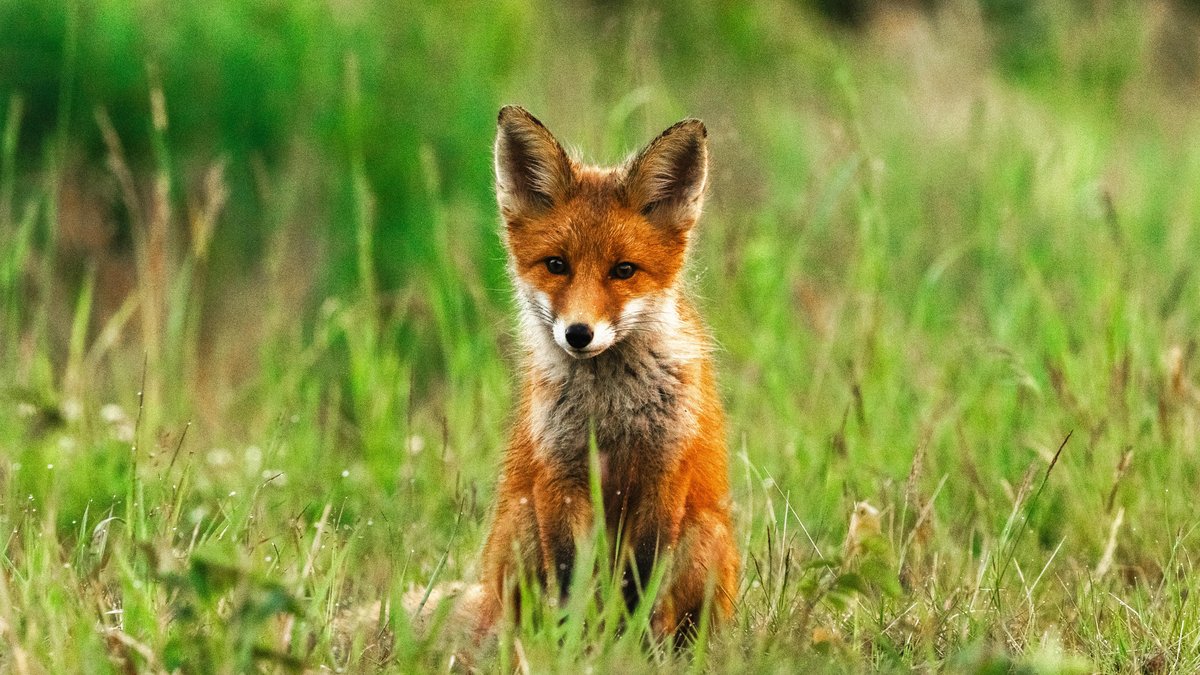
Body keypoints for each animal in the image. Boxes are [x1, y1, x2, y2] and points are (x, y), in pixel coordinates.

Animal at [470, 105, 739, 642]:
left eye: (624, 270)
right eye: (557, 265)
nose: (578, 334)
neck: (610, 411)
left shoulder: (663, 473)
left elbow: (641, 581)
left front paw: (632, 648)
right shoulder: (560, 477)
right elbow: (570, 580)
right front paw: (572, 648)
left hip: (704, 534)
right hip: (520, 525)